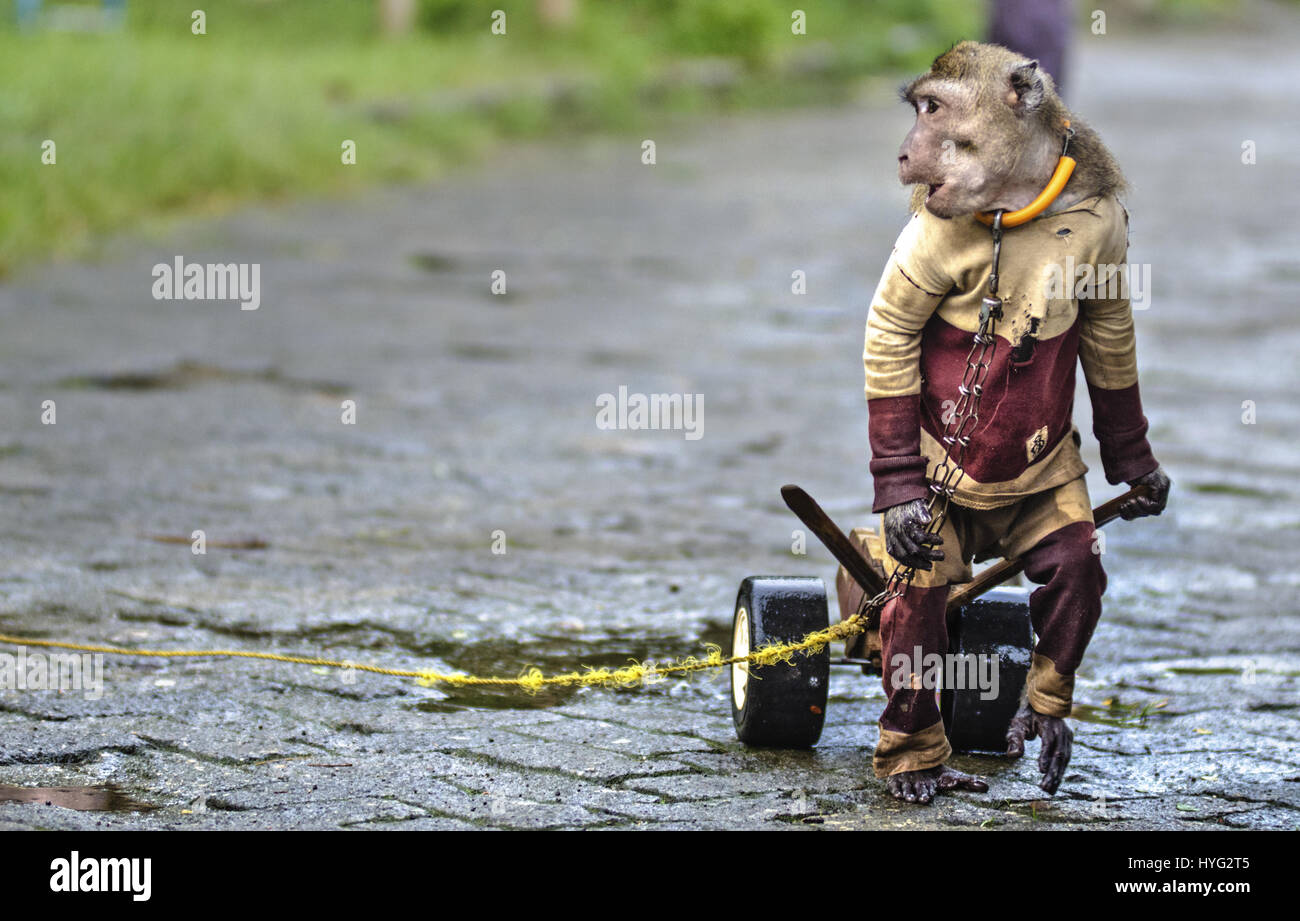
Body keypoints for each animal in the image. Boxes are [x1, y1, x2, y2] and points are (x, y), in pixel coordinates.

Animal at [863, 42, 1170, 804]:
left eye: (933, 109)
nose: (906, 152)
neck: (1019, 203)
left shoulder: (1107, 228)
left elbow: (1108, 334)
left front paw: (1142, 474)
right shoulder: (931, 233)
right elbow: (893, 331)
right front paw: (900, 502)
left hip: (1040, 493)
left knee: (1073, 566)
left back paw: (1043, 712)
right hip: (945, 518)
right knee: (920, 598)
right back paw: (918, 763)